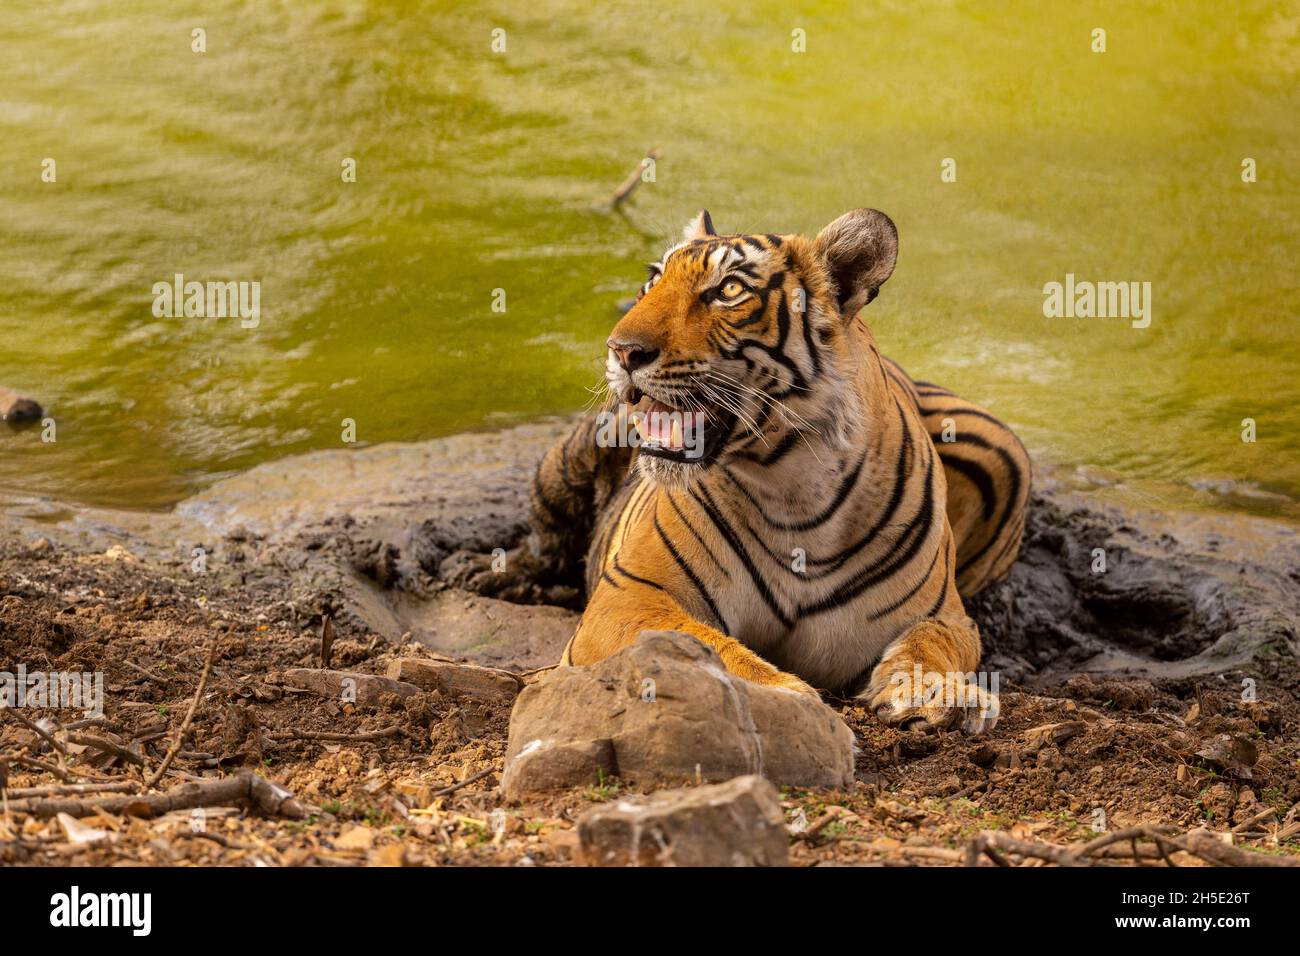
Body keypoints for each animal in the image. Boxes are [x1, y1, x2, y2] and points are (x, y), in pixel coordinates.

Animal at [454, 208, 1030, 733]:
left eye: (728, 290)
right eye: (652, 280)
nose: (621, 350)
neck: (795, 489)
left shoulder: (944, 614)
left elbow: (932, 644)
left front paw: (943, 693)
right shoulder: (629, 596)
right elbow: (709, 645)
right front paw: (788, 695)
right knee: (545, 536)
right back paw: (487, 572)